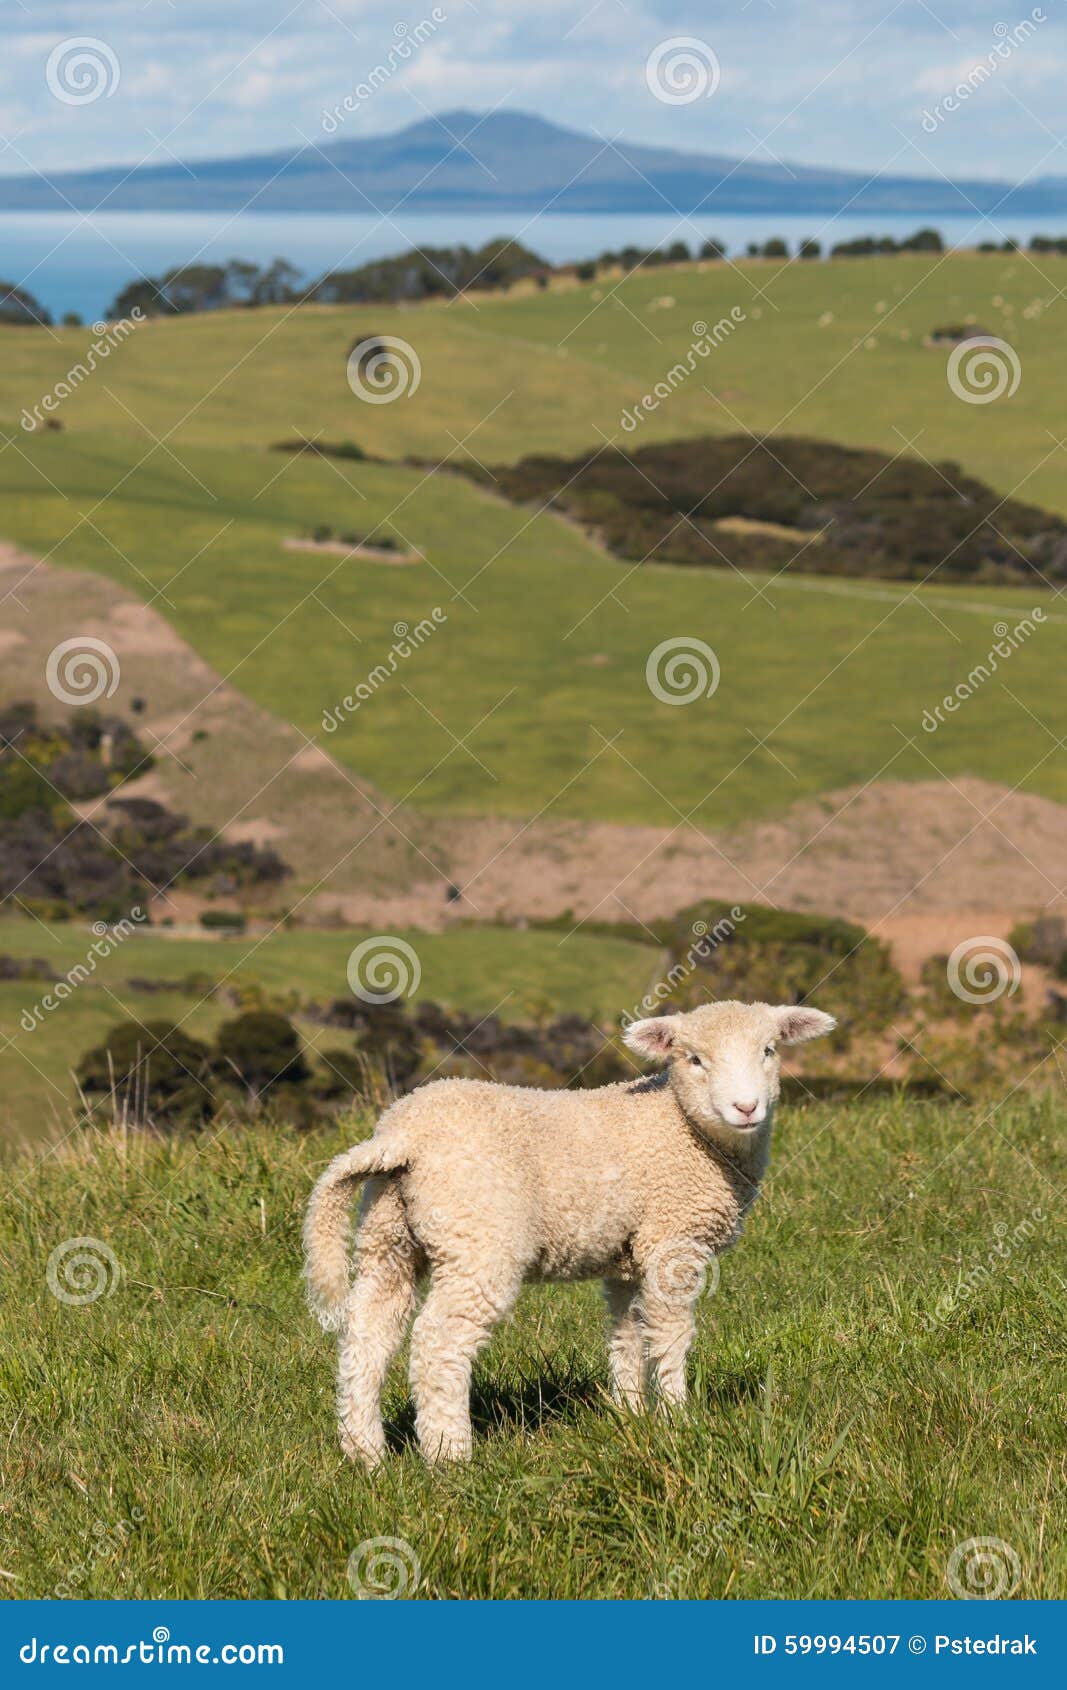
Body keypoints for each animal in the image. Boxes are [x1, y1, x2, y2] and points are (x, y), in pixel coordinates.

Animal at [303, 998, 835, 1465]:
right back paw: (449, 1456)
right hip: (479, 1238)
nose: (746, 1107)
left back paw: (365, 1454)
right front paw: (677, 1420)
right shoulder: (671, 1239)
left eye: (769, 1050)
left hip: (388, 1234)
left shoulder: (628, 1255)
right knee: (438, 1344)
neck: (683, 1128)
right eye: (694, 1059)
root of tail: (401, 1137)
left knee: (368, 1335)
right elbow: (671, 1335)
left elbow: (626, 1335)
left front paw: (629, 1415)